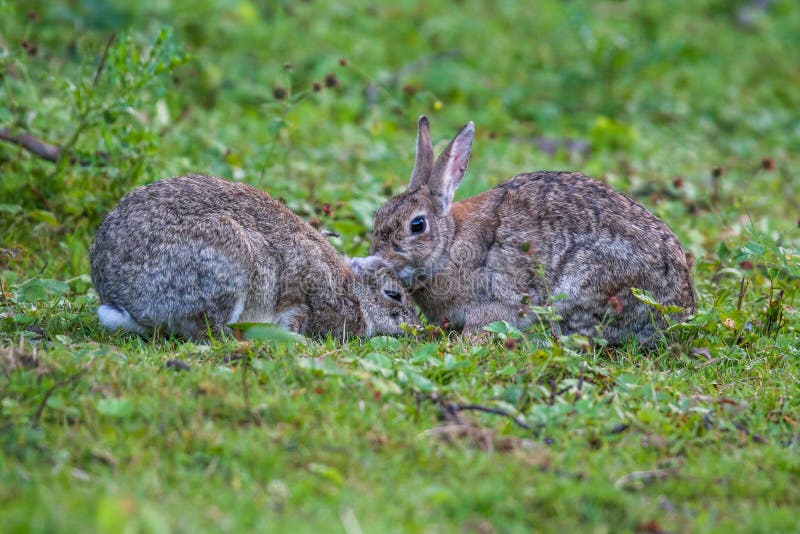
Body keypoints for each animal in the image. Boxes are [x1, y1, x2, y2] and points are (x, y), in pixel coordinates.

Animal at [90, 174, 418, 340]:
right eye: (394, 294)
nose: (415, 325)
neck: (352, 291)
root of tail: (117, 297)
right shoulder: (306, 296)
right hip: (227, 266)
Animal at [369, 117, 695, 346]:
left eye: (417, 225)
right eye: (379, 214)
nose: (377, 258)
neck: (449, 244)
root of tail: (681, 307)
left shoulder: (494, 302)